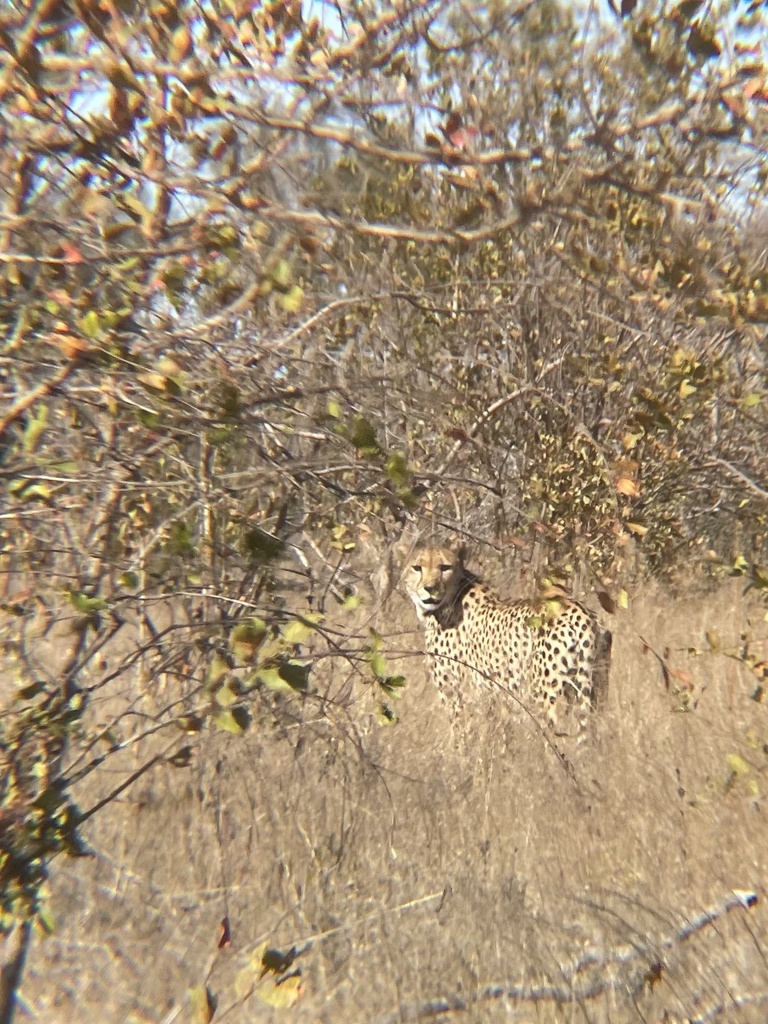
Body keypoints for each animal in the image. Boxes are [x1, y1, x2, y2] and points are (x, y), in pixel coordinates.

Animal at [405, 544, 611, 731]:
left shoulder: (456, 694)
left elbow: (462, 736)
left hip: (545, 691)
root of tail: (582, 612)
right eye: (417, 567)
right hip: (592, 686)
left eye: (444, 567)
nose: (430, 588)